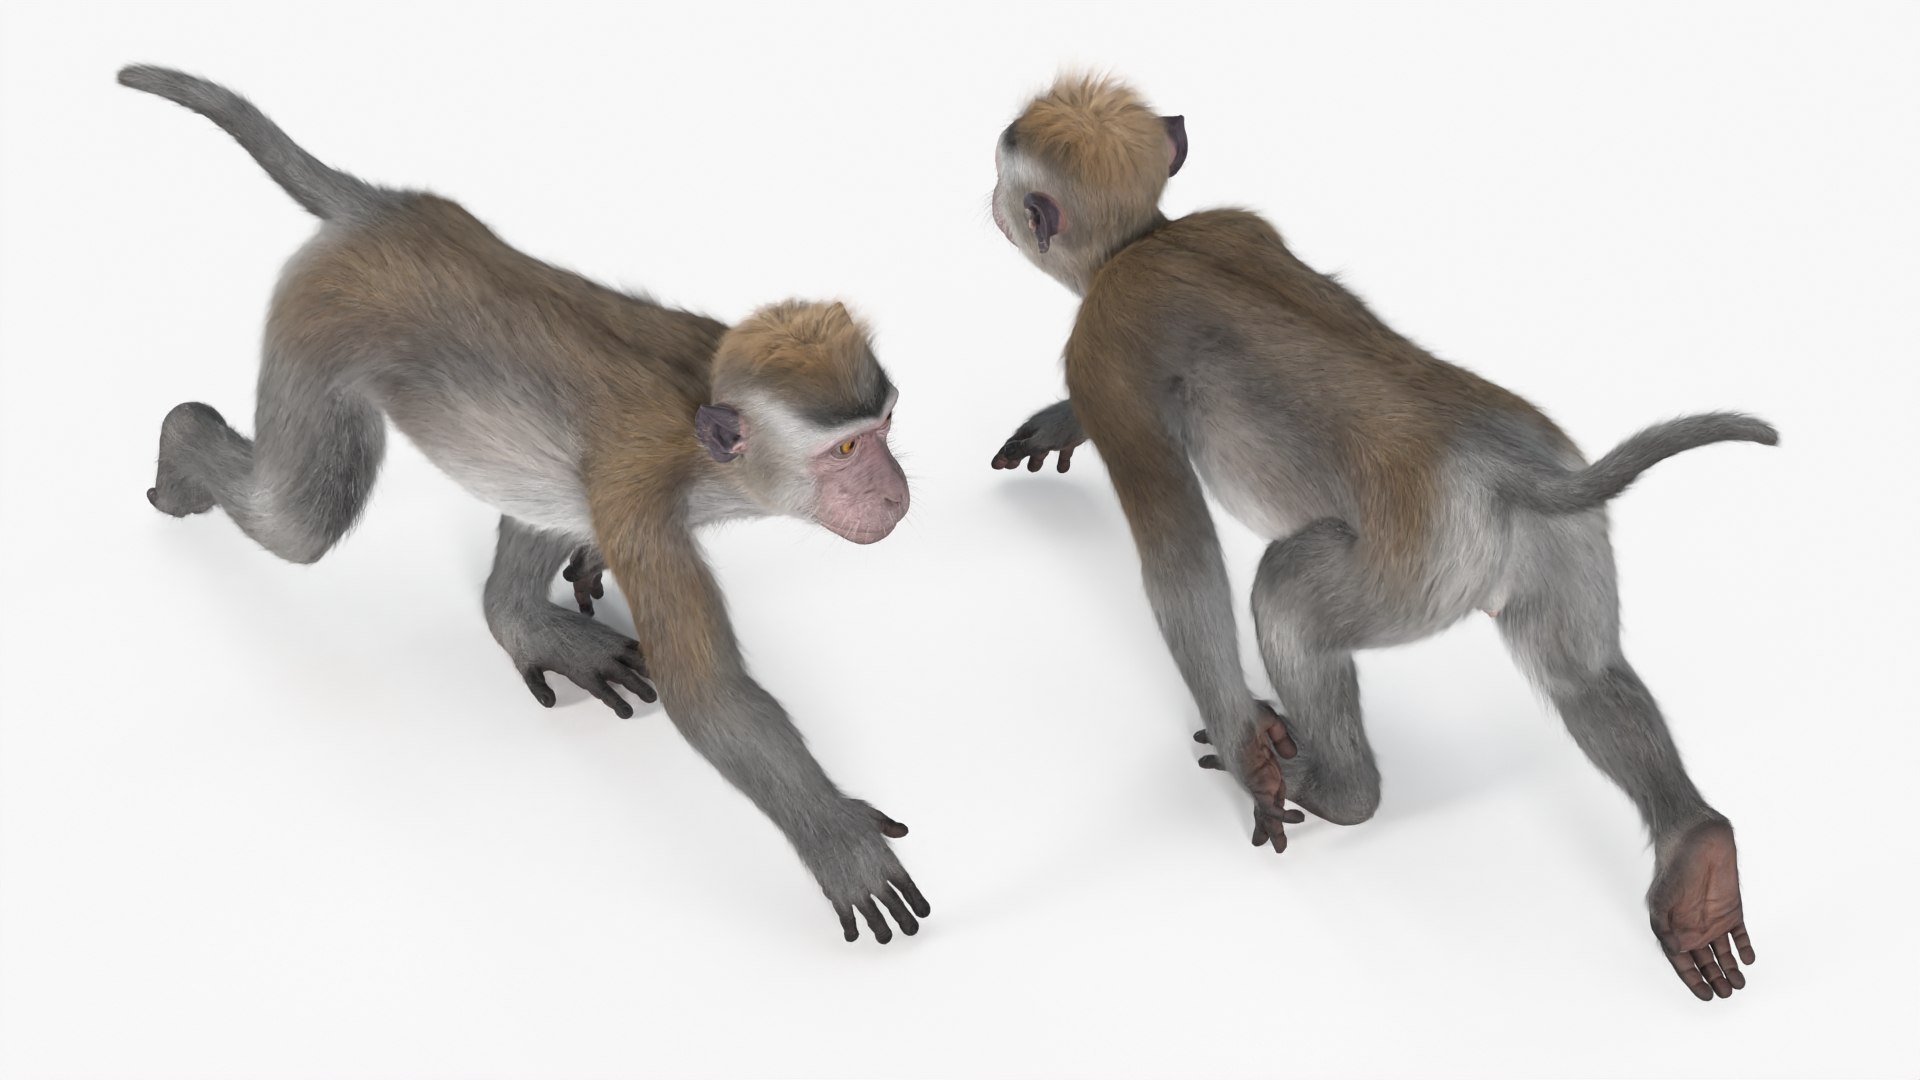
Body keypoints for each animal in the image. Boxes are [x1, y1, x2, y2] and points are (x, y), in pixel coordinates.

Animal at [120, 65, 928, 943]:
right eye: (844, 452)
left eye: (884, 429)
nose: (895, 490)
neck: (706, 441)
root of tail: (386, 208)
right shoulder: (638, 495)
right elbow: (711, 700)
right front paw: (839, 839)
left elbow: (560, 516)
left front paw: (570, 573)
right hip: (318, 316)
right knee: (303, 520)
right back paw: (181, 440)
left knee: (531, 490)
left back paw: (518, 617)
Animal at [987, 75, 1772, 1000]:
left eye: (1003, 181)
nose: (990, 207)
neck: (1147, 240)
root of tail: (1503, 464)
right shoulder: (1240, 220)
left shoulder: (1103, 346)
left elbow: (1183, 563)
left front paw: (1248, 756)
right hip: (1560, 539)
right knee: (1583, 674)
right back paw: (1700, 857)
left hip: (1414, 564)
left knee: (1286, 590)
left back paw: (1340, 791)